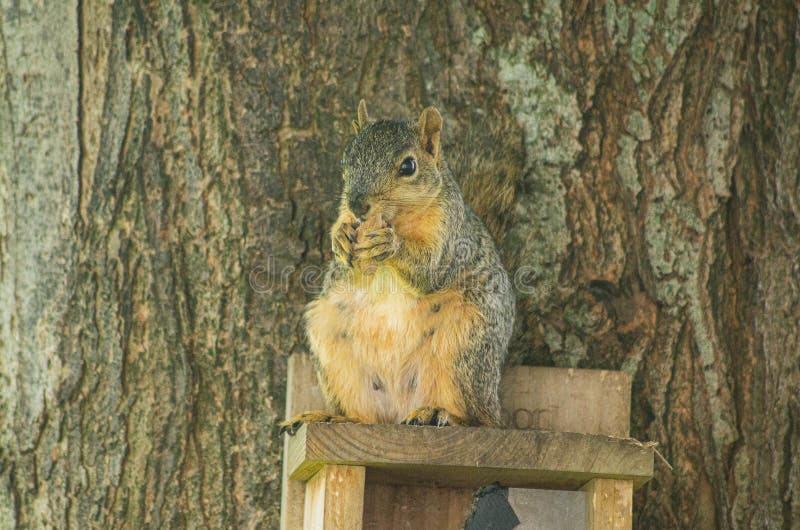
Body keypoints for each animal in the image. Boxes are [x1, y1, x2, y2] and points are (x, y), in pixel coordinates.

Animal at [280, 100, 515, 434]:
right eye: (345, 159)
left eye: (408, 167)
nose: (357, 204)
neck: (396, 217)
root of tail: (402, 406)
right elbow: (347, 263)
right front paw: (340, 237)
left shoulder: (451, 234)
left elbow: (430, 270)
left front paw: (390, 244)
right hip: (333, 348)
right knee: (364, 416)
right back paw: (330, 416)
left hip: (468, 347)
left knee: (484, 420)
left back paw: (441, 414)